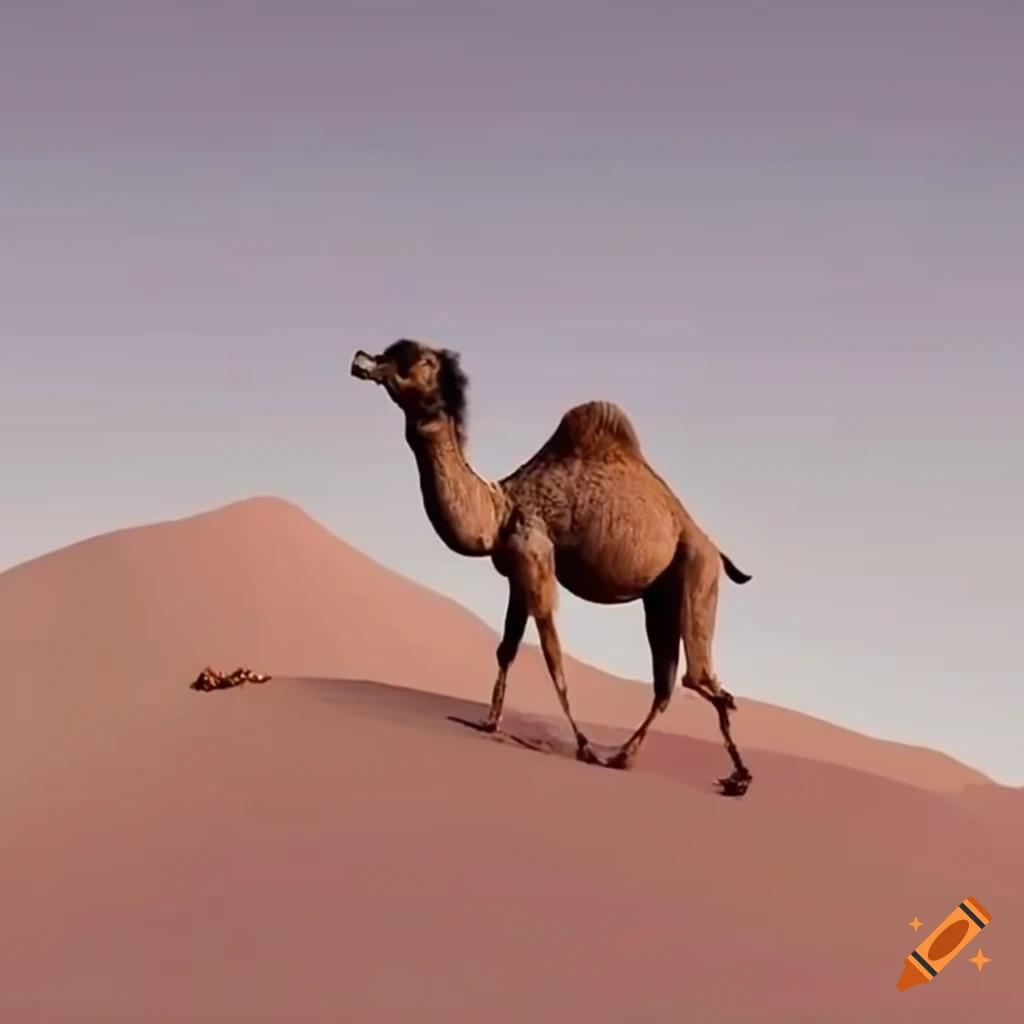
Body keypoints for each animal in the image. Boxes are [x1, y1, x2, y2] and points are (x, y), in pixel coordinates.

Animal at [351, 339, 755, 796]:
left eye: (414, 358)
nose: (362, 359)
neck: (498, 507)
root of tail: (717, 549)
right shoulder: (516, 571)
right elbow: (507, 647)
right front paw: (489, 722)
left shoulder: (536, 554)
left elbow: (551, 653)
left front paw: (583, 746)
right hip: (661, 595)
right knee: (668, 684)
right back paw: (628, 758)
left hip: (697, 571)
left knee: (698, 677)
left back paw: (737, 776)